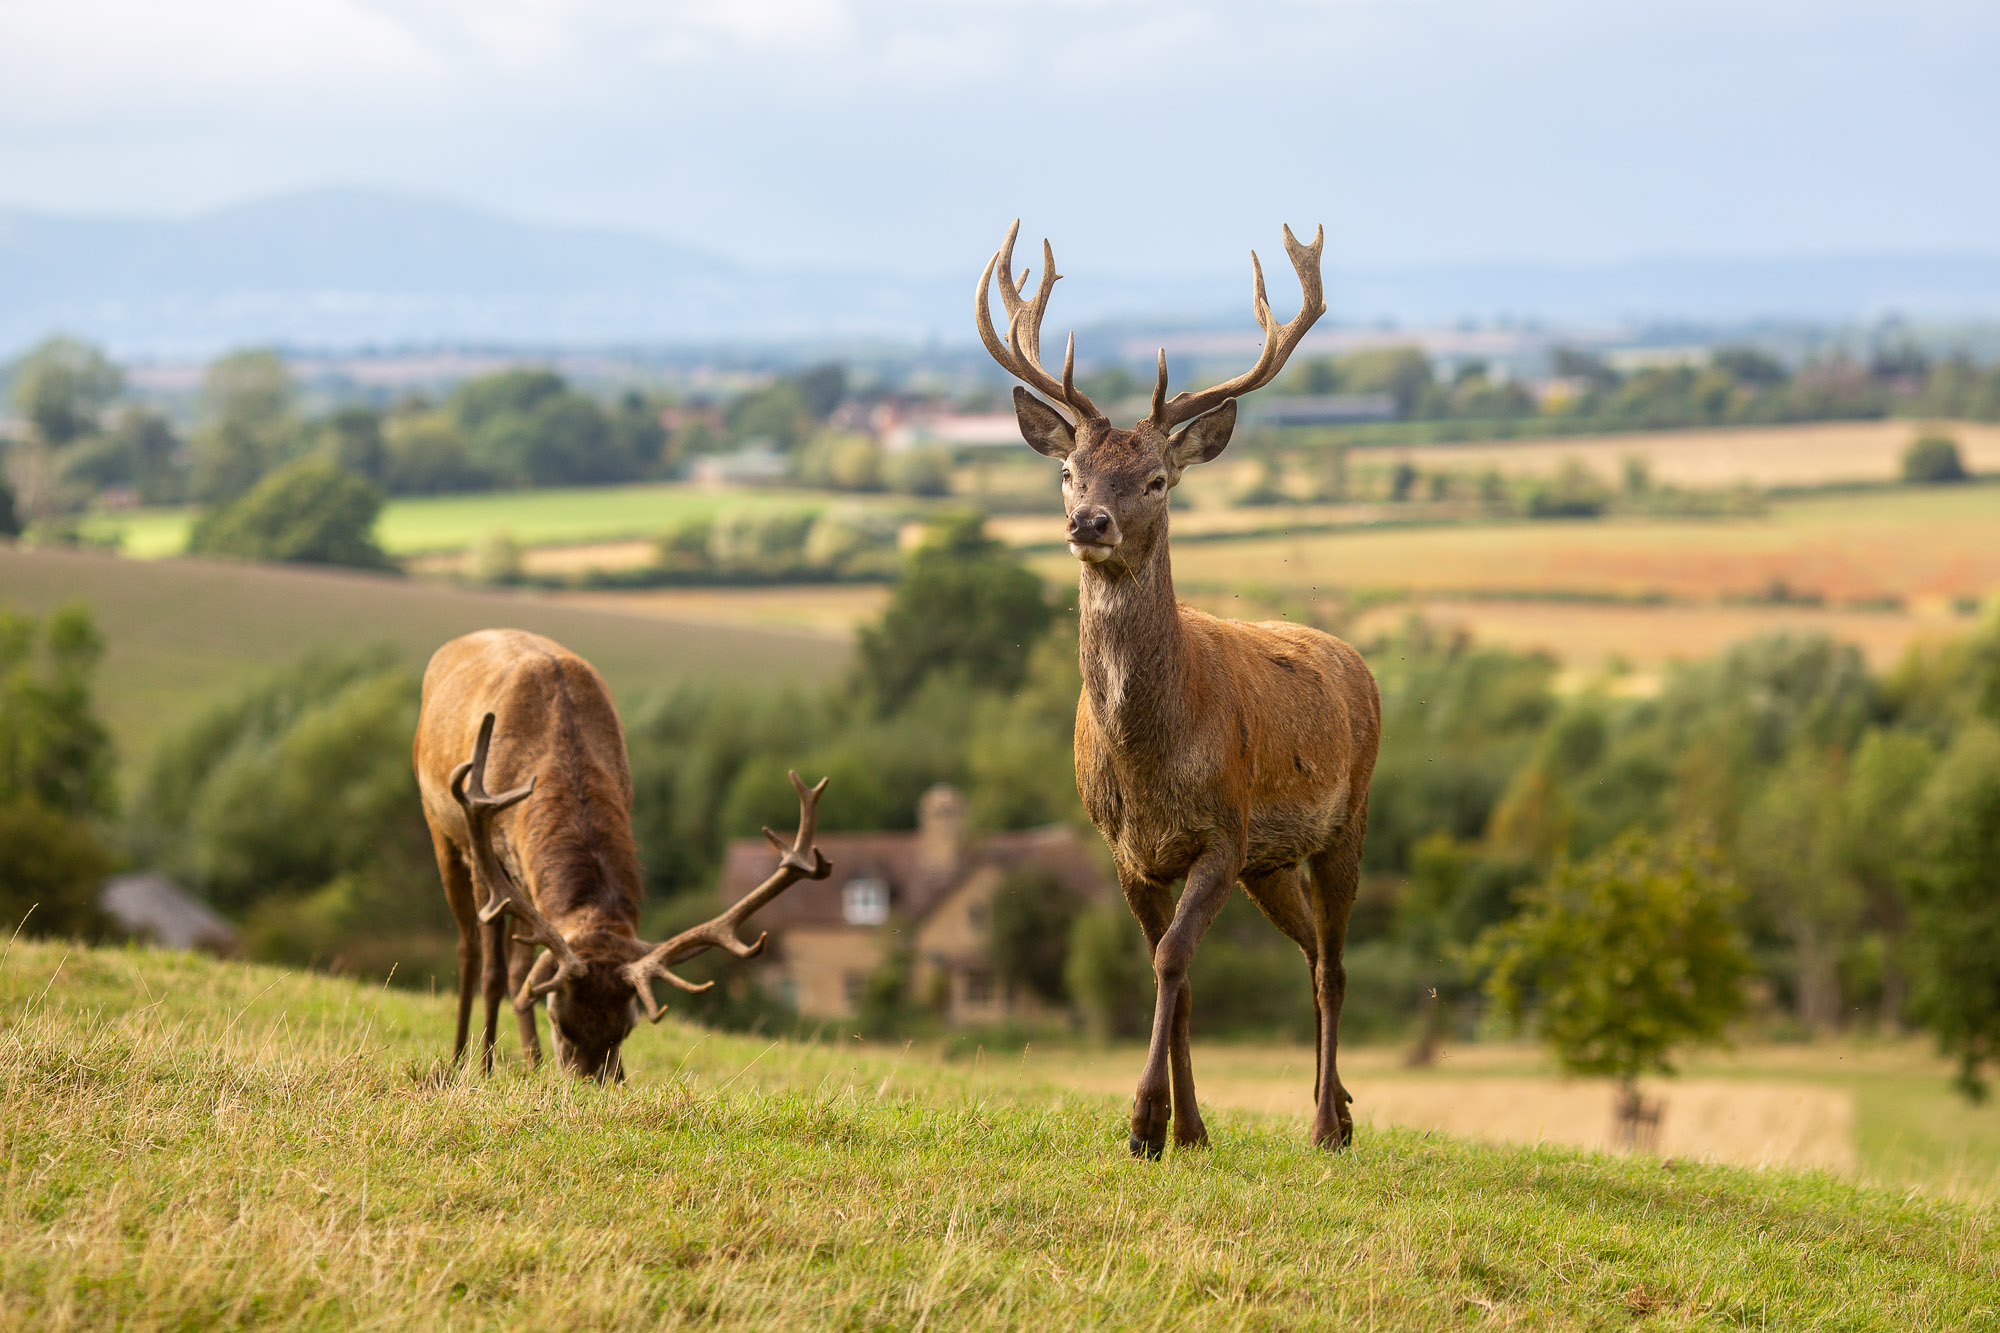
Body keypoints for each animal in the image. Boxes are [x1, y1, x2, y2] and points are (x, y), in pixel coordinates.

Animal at [413, 628, 831, 1079]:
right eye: (559, 1019)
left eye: (627, 1027)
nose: (595, 1083)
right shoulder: (485, 852)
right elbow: (492, 971)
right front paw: (484, 1069)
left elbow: (523, 975)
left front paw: (536, 1065)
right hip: (441, 830)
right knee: (469, 949)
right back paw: (460, 1056)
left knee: (518, 966)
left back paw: (530, 1062)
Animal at [976, 221, 1381, 1156]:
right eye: (1067, 472)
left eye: (1156, 479)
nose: (1087, 520)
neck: (1151, 760)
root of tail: (1356, 660)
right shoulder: (1128, 852)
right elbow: (1177, 975)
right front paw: (1188, 1129)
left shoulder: (1219, 835)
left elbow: (1170, 962)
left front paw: (1142, 1121)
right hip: (1273, 861)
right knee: (1309, 954)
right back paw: (1340, 1105)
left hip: (1344, 821)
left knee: (1334, 964)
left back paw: (1325, 1123)